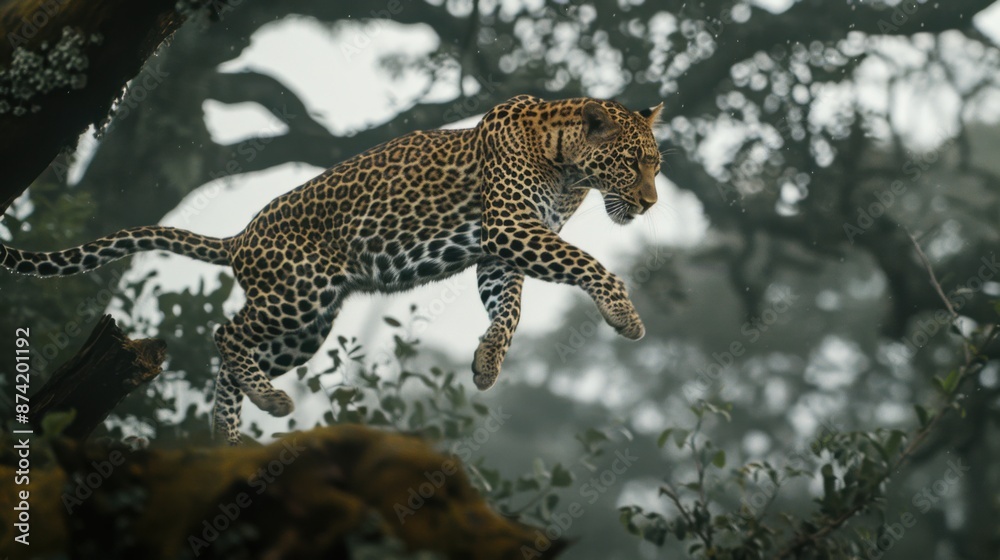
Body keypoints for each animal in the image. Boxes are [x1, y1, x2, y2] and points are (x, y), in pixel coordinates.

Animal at [1, 94, 664, 444]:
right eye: (634, 162)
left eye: (656, 165)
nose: (653, 204)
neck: (570, 170)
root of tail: (239, 239)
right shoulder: (508, 227)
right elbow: (589, 263)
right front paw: (626, 316)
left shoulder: (504, 249)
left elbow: (511, 309)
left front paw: (486, 363)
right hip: (300, 292)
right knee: (225, 333)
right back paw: (266, 405)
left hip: (308, 323)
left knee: (232, 358)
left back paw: (229, 436)